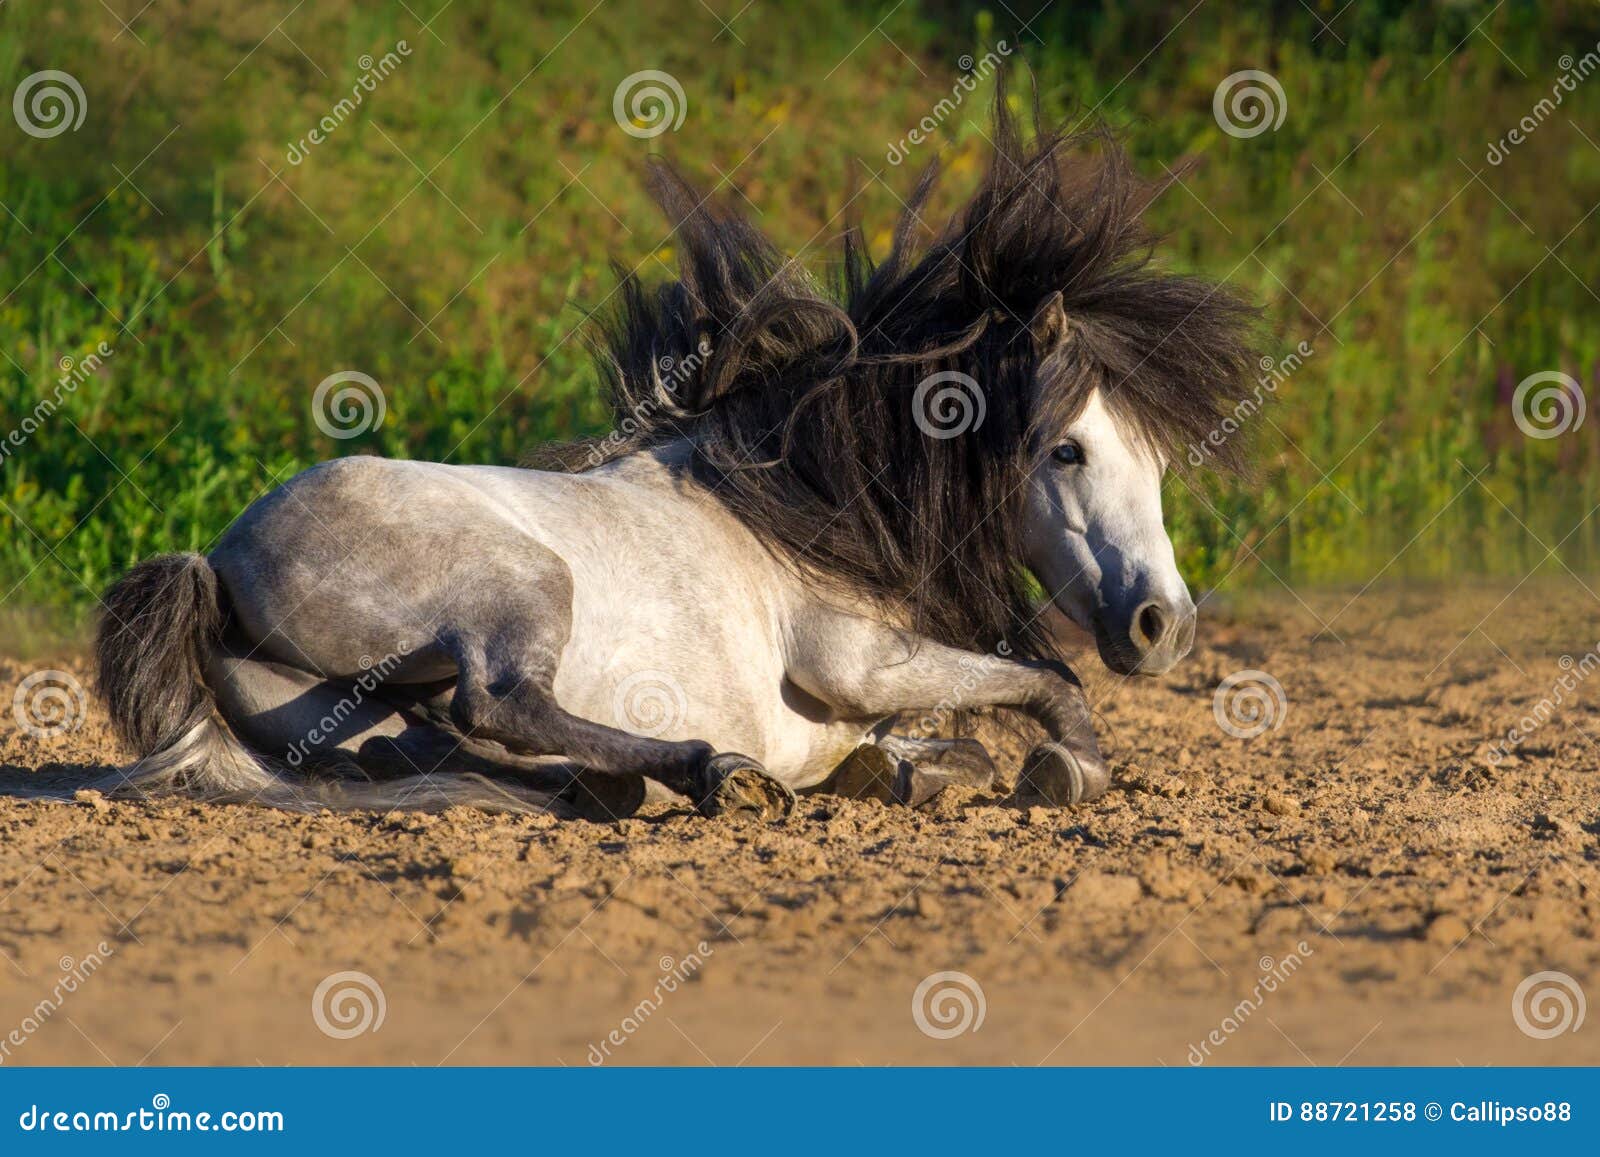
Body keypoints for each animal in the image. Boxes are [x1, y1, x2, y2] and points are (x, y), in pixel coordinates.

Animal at [92, 94, 1259, 821]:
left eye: (1157, 461)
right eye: (1065, 449)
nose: (1162, 625)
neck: (811, 510)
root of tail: (216, 560)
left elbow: (944, 738)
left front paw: (903, 770)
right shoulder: (857, 660)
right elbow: (1042, 678)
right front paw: (1070, 765)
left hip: (341, 698)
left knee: (418, 741)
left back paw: (627, 786)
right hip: (521, 583)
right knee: (493, 701)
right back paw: (708, 773)